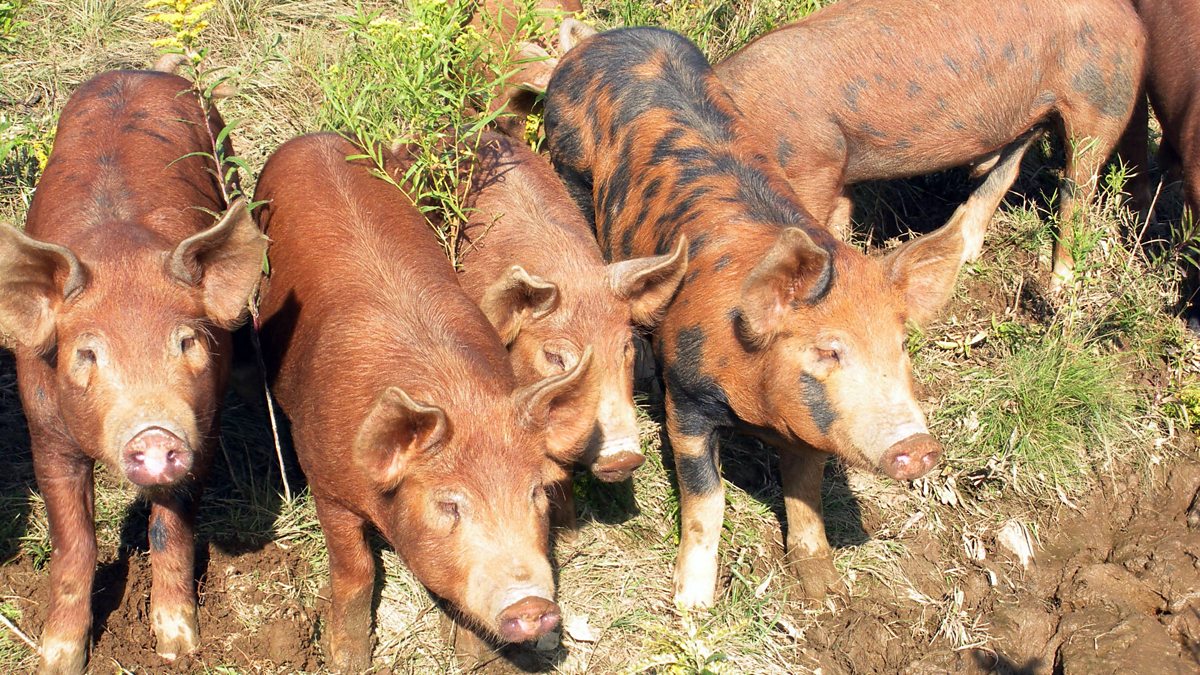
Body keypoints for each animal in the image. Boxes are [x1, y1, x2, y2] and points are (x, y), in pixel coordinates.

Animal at [0, 70, 267, 673]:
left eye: (187, 341)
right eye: (87, 354)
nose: (153, 431)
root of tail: (138, 71)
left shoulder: (203, 427)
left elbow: (172, 527)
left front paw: (177, 648)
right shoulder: (44, 432)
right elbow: (74, 540)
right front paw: (58, 660)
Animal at [254, 133, 597, 670]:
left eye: (536, 493)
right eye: (449, 504)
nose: (531, 607)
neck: (455, 394)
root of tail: (313, 138)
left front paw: (472, 661)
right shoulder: (325, 483)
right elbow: (356, 572)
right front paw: (348, 662)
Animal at [544, 27, 970, 608]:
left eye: (900, 345)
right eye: (828, 350)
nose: (920, 446)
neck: (758, 411)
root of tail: (600, 39)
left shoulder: (813, 422)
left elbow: (807, 493)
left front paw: (826, 593)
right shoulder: (689, 402)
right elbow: (708, 498)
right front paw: (692, 605)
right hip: (567, 163)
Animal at [709, 0, 1146, 289]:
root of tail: (1130, 14)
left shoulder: (811, 163)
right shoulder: (838, 167)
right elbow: (838, 225)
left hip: (1101, 98)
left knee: (1077, 187)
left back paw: (1059, 284)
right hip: (1033, 115)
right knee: (1009, 168)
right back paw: (964, 253)